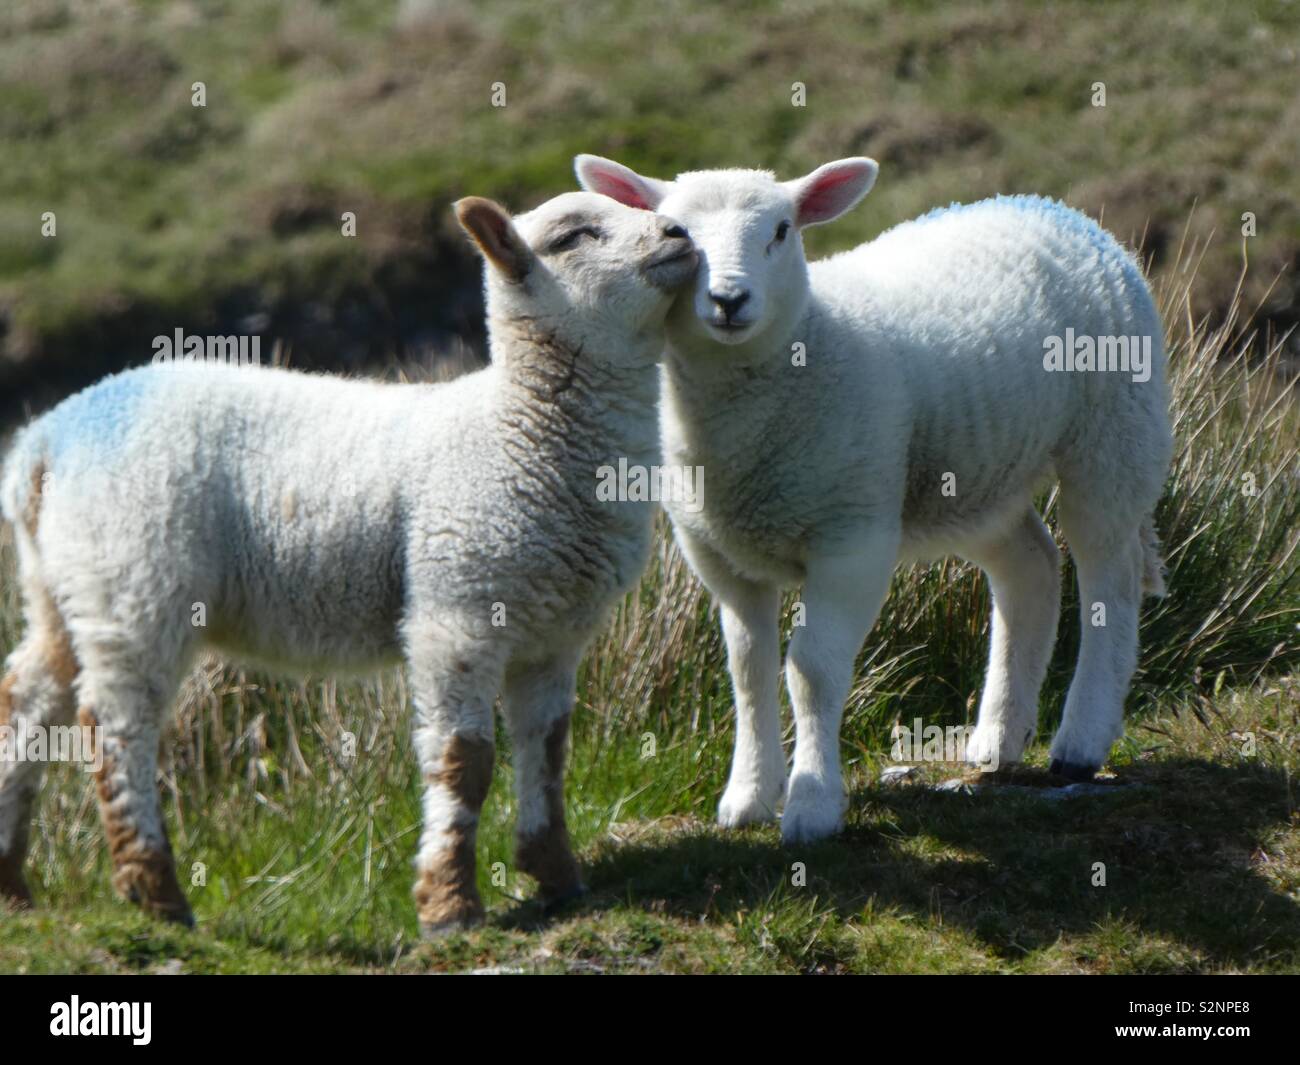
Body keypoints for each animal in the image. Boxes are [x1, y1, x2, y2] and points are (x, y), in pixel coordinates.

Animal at [0, 191, 697, 932]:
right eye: (573, 236)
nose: (679, 234)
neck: (514, 425)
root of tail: (45, 441)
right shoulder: (456, 609)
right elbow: (463, 759)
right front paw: (449, 902)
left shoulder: (553, 633)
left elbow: (550, 747)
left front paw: (556, 874)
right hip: (136, 579)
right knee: (115, 725)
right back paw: (154, 890)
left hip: (64, 586)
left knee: (26, 700)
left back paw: (13, 882)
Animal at [577, 154, 1173, 843]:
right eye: (675, 231)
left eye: (781, 230)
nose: (728, 300)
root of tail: (1051, 209)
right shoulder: (720, 555)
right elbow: (748, 671)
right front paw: (747, 798)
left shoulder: (852, 539)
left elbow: (811, 671)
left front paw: (811, 805)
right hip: (973, 474)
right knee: (1029, 567)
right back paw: (998, 737)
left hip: (1113, 432)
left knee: (1109, 579)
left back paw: (1081, 739)